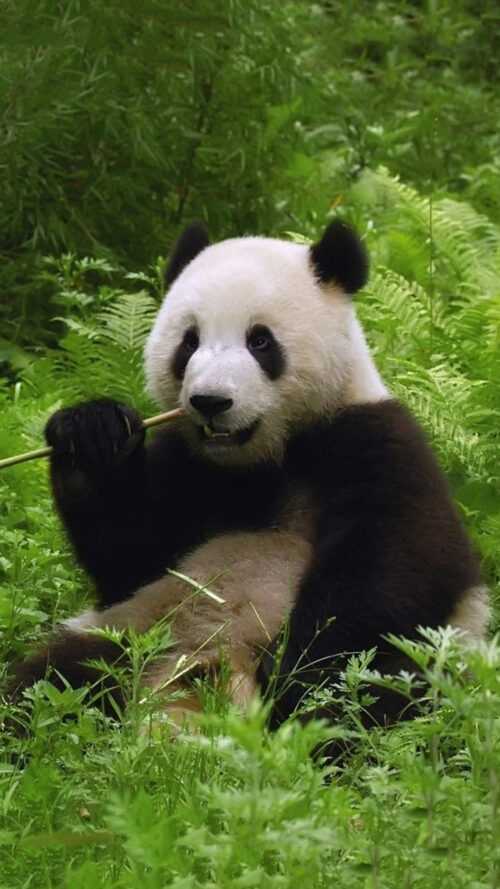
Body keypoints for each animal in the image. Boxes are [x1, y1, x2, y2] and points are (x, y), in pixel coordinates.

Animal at [9, 220, 489, 732]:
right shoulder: (186, 465)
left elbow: (392, 569)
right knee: (55, 679)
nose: (210, 401)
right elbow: (129, 557)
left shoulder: (375, 443)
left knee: (373, 691)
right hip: (136, 628)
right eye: (189, 342)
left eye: (260, 341)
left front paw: (292, 670)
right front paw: (92, 433)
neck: (262, 459)